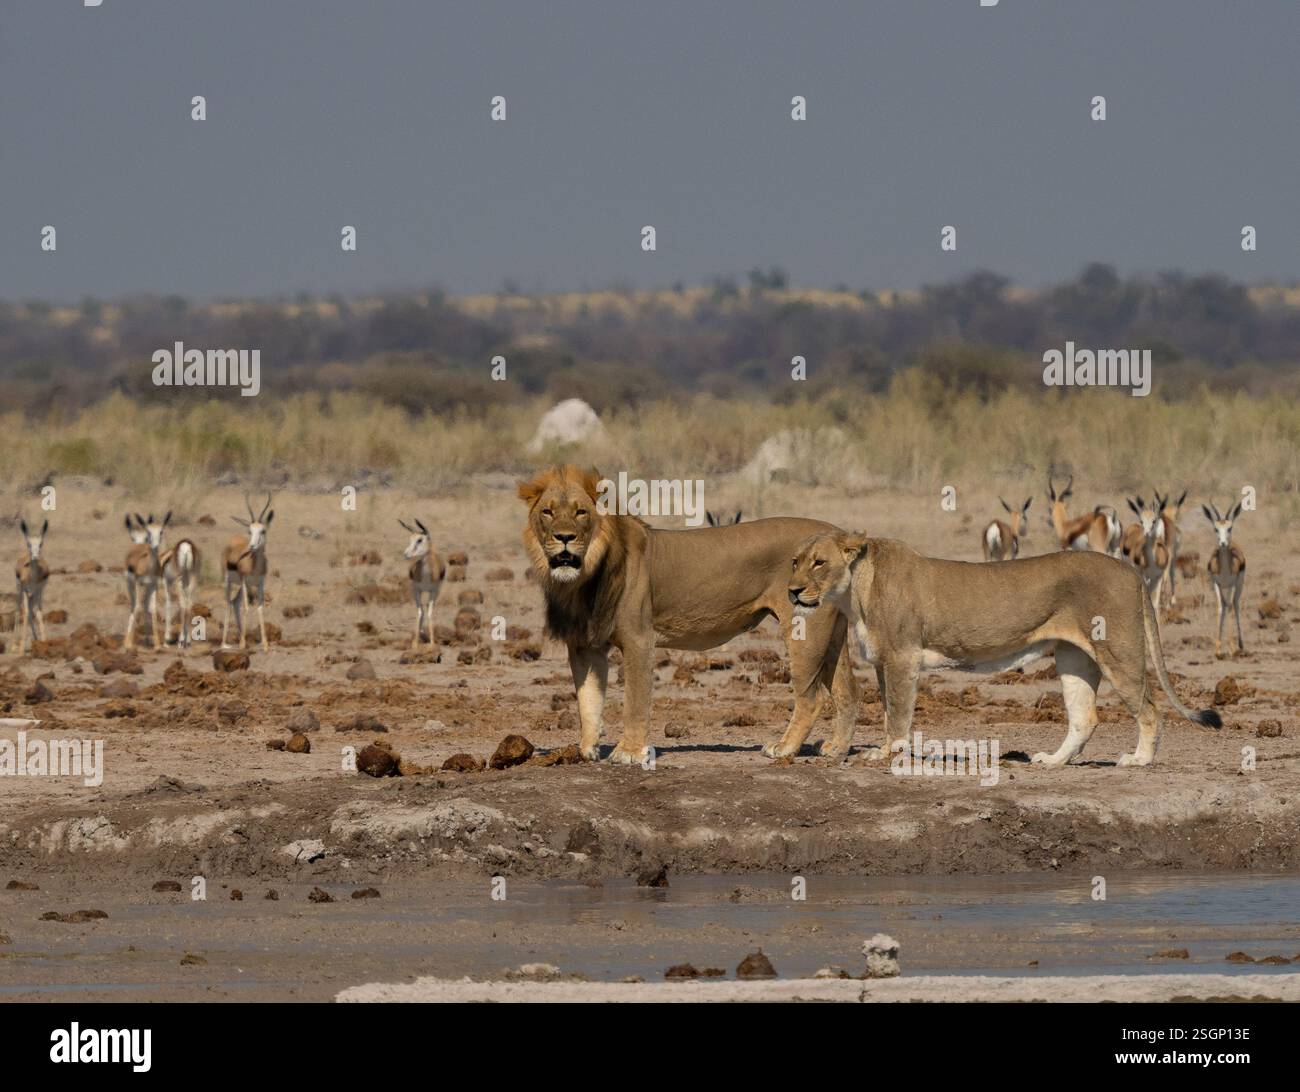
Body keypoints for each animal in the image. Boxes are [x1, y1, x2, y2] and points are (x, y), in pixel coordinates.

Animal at [518, 465, 859, 763]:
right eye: (548, 512)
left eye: (581, 512)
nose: (564, 537)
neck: (585, 575)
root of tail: (838, 535)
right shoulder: (584, 645)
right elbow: (588, 700)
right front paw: (585, 750)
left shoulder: (639, 638)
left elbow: (634, 700)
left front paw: (629, 752)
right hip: (832, 633)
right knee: (847, 692)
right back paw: (836, 748)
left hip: (804, 626)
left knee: (812, 697)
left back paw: (784, 747)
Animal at [787, 531, 1221, 767]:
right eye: (795, 562)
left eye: (819, 562)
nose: (792, 591)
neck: (854, 591)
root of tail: (1131, 570)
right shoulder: (884, 661)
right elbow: (889, 711)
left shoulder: (901, 657)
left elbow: (897, 716)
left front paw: (886, 754)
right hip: (1074, 657)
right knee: (1085, 717)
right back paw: (1053, 761)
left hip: (1118, 651)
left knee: (1150, 709)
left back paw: (1139, 759)